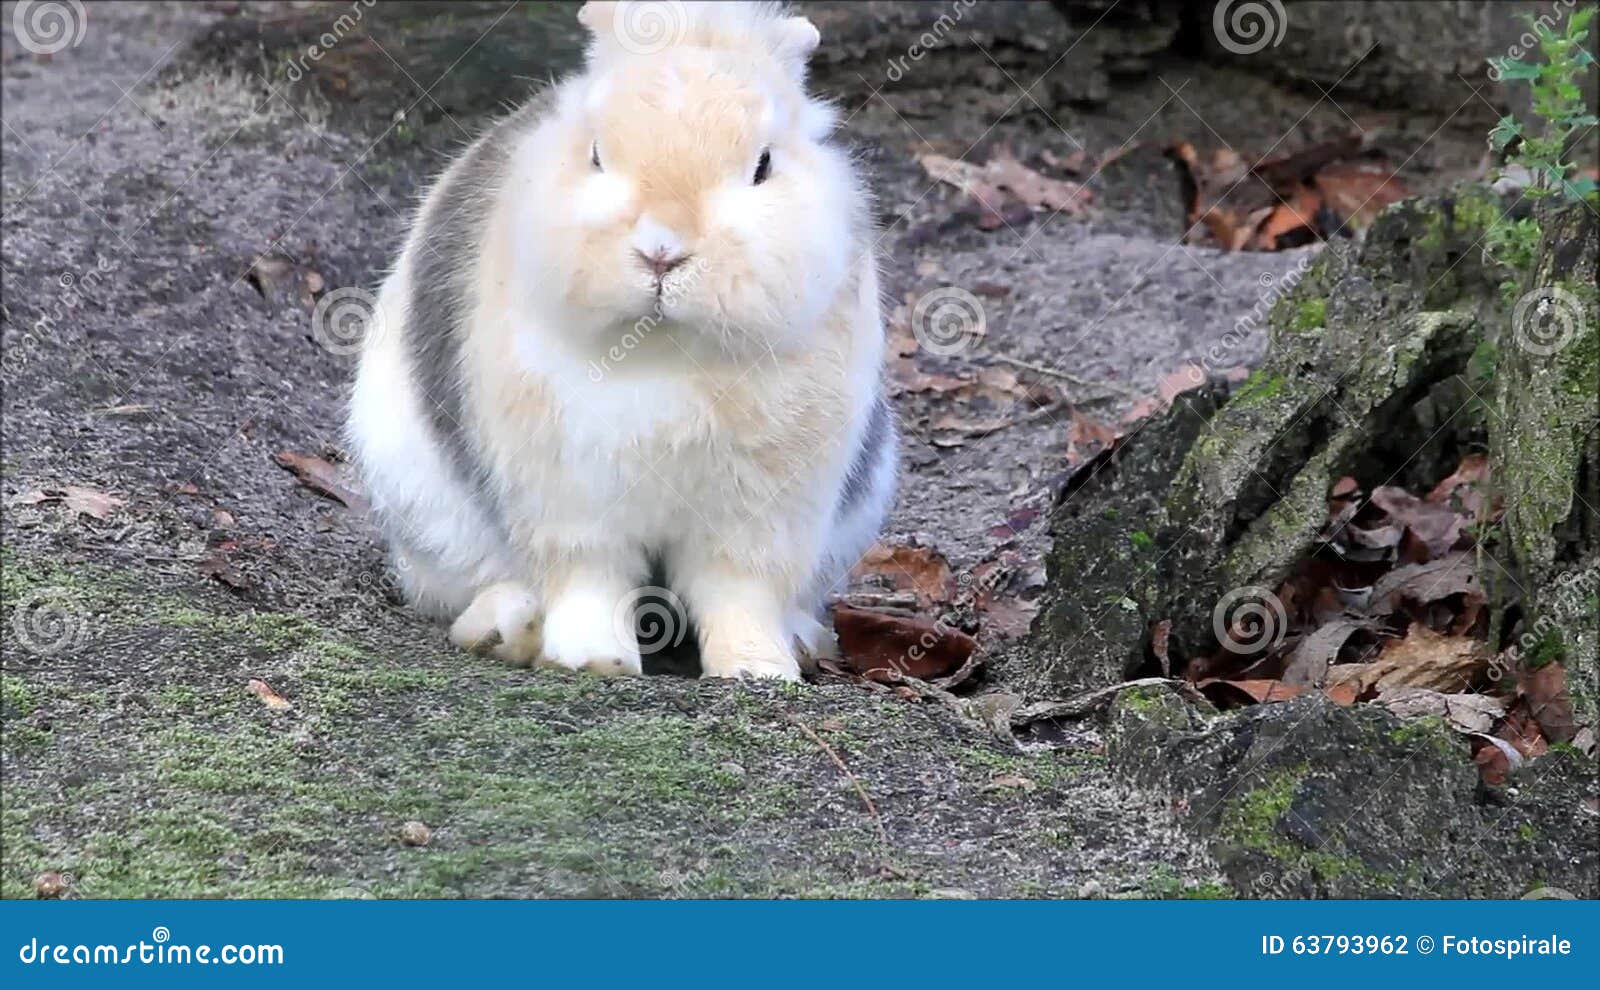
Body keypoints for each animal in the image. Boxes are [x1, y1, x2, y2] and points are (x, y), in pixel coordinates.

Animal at [346, 1, 896, 681]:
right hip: (424, 507)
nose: (661, 249)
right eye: (596, 155)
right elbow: (591, 582)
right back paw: (506, 630)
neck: (661, 345)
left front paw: (756, 671)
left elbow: (739, 594)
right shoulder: (571, 503)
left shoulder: (760, 519)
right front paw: (594, 662)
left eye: (764, 165)